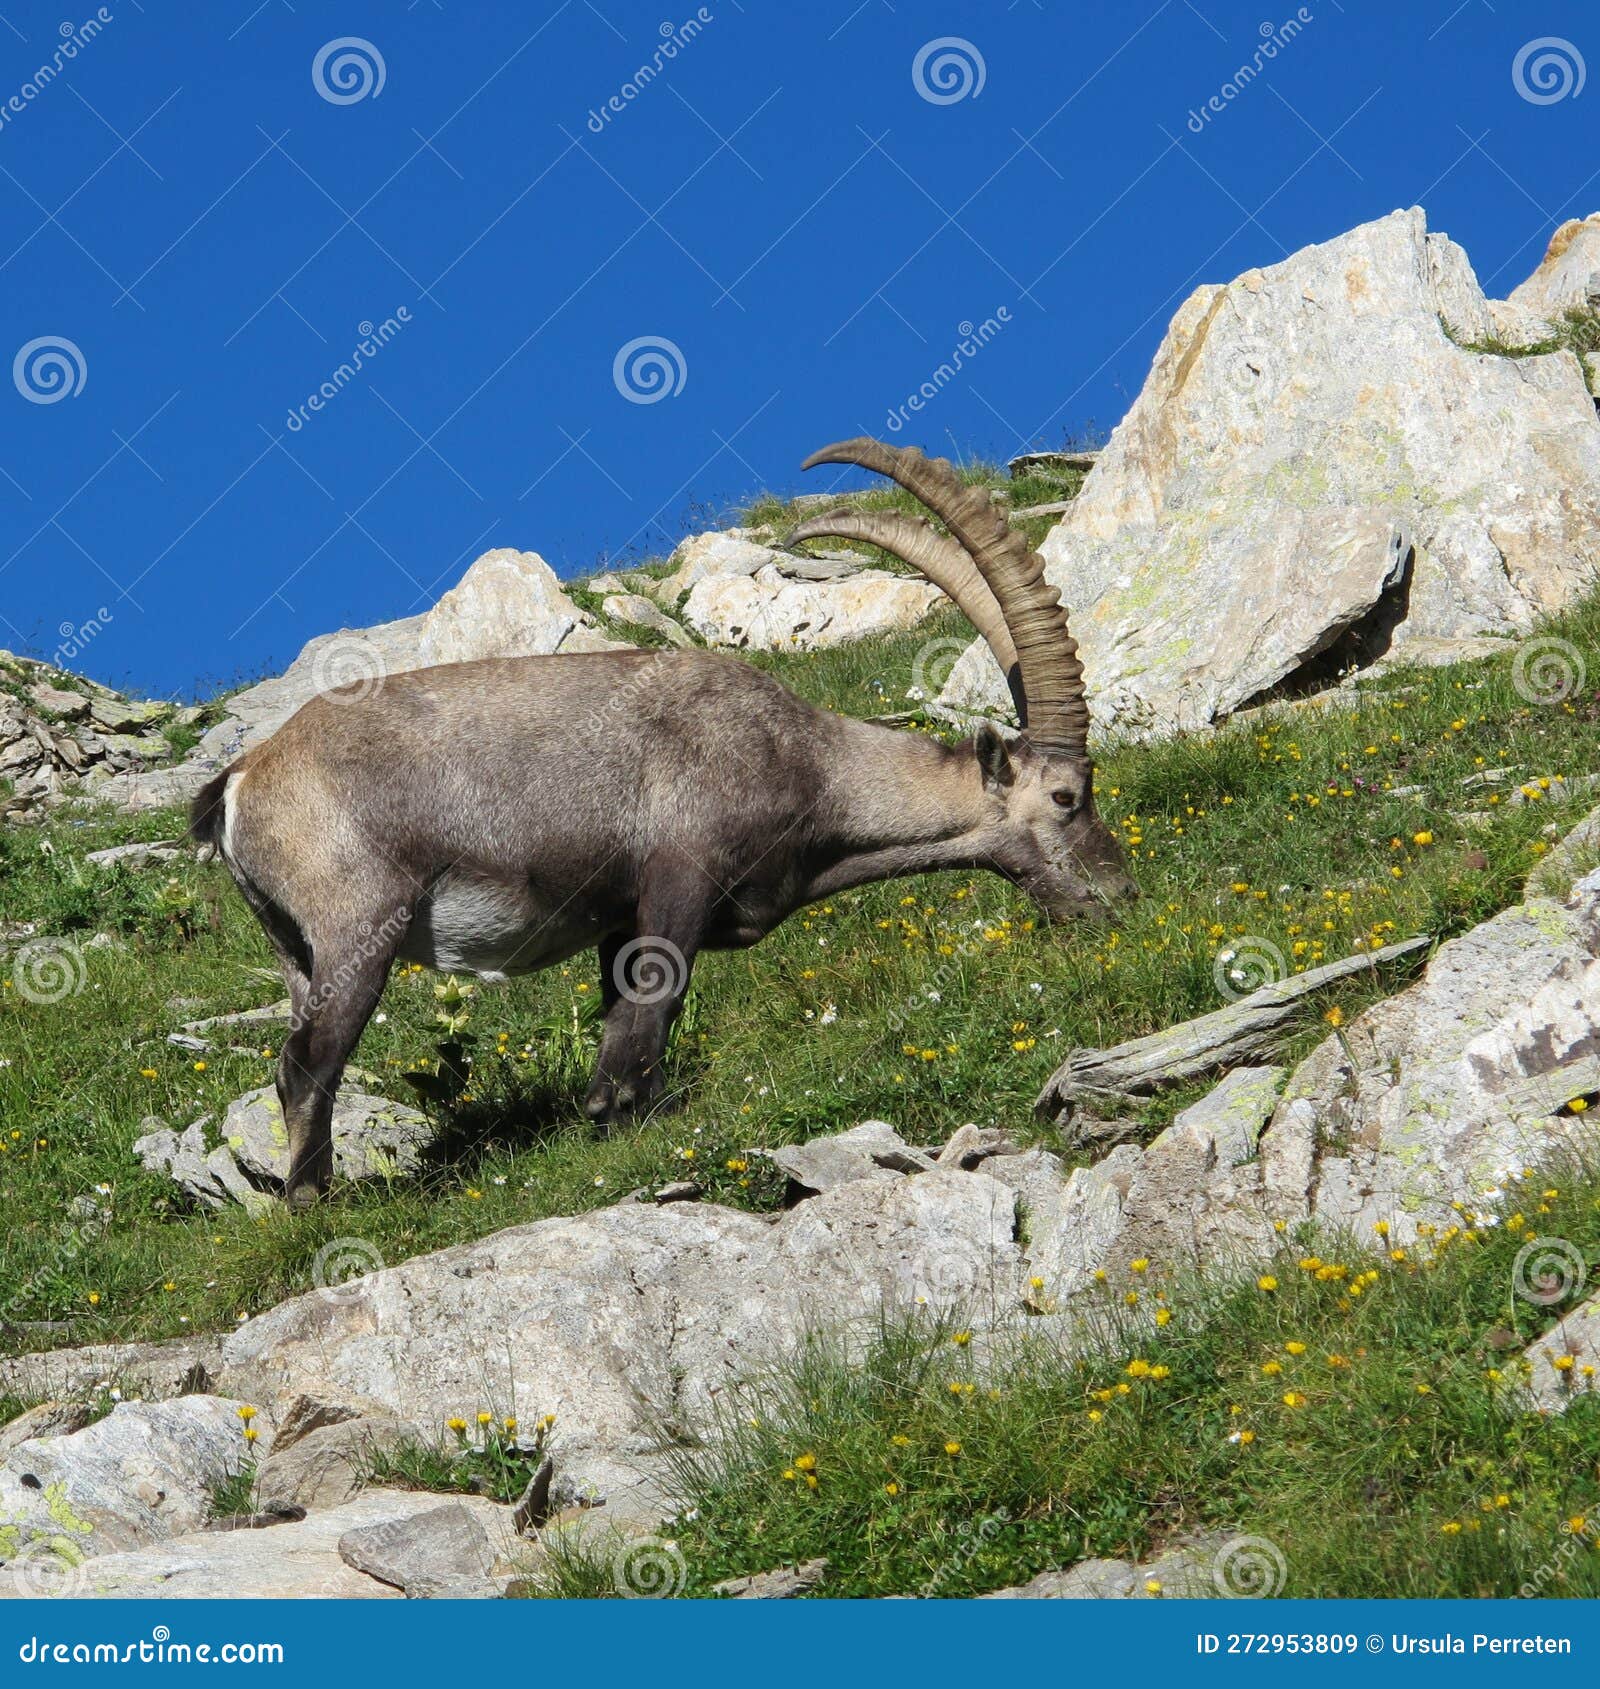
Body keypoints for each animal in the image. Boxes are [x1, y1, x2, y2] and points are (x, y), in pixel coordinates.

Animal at [191, 438, 1136, 1206]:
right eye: (1067, 796)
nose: (1120, 893)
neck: (802, 760)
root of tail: (242, 780)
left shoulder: (619, 920)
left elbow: (625, 1029)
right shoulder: (676, 882)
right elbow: (646, 1026)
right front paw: (625, 1131)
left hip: (297, 948)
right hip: (360, 926)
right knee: (305, 1065)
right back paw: (311, 1204)